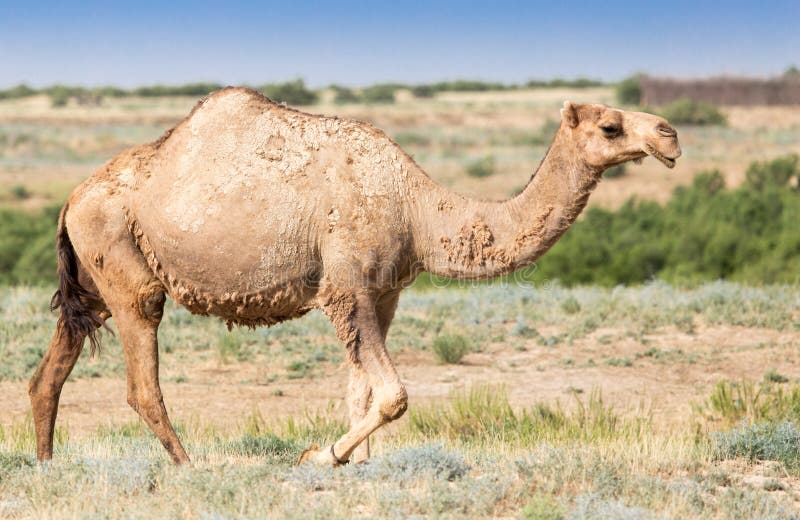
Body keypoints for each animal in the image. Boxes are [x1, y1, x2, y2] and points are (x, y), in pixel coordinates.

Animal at [28, 87, 681, 466]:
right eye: (610, 127)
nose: (669, 134)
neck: (417, 209)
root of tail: (71, 200)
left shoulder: (385, 292)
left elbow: (360, 389)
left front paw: (357, 463)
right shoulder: (344, 287)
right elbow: (393, 393)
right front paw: (322, 456)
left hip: (93, 282)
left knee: (48, 374)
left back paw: (46, 466)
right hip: (126, 270)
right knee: (142, 382)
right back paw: (190, 468)